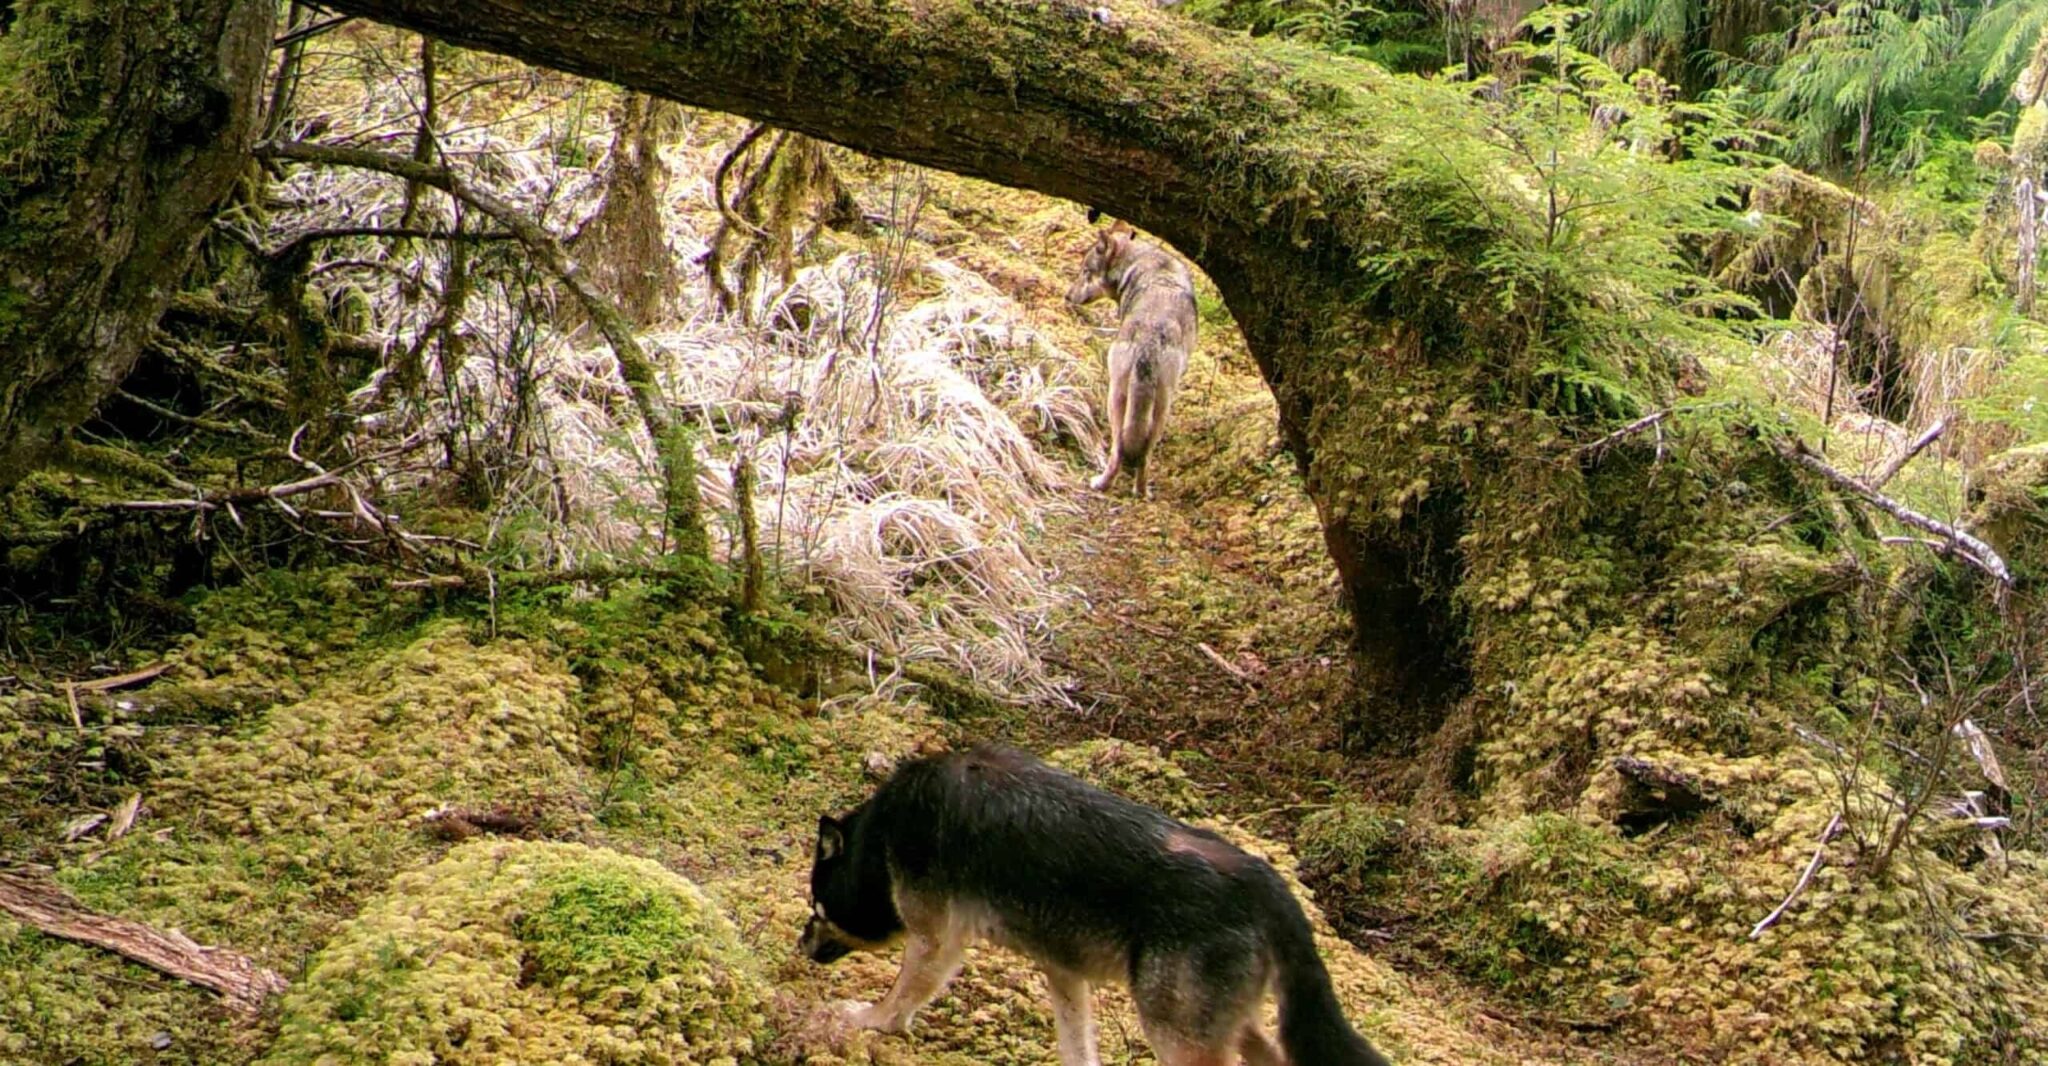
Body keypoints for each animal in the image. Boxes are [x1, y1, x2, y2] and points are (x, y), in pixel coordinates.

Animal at [798, 743, 1392, 1066]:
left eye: (815, 906)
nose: (801, 944)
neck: (883, 836)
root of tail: (1269, 885)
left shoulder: (936, 940)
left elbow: (898, 1000)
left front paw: (867, 1020)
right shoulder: (1063, 972)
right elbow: (1077, 1043)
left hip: (1175, 1034)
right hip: (1223, 1026)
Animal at [1065, 220, 1198, 499]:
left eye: (1085, 271)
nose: (1067, 296)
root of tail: (1149, 340)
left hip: (1114, 398)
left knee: (1118, 449)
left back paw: (1100, 484)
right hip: (1162, 407)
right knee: (1144, 455)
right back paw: (1142, 493)